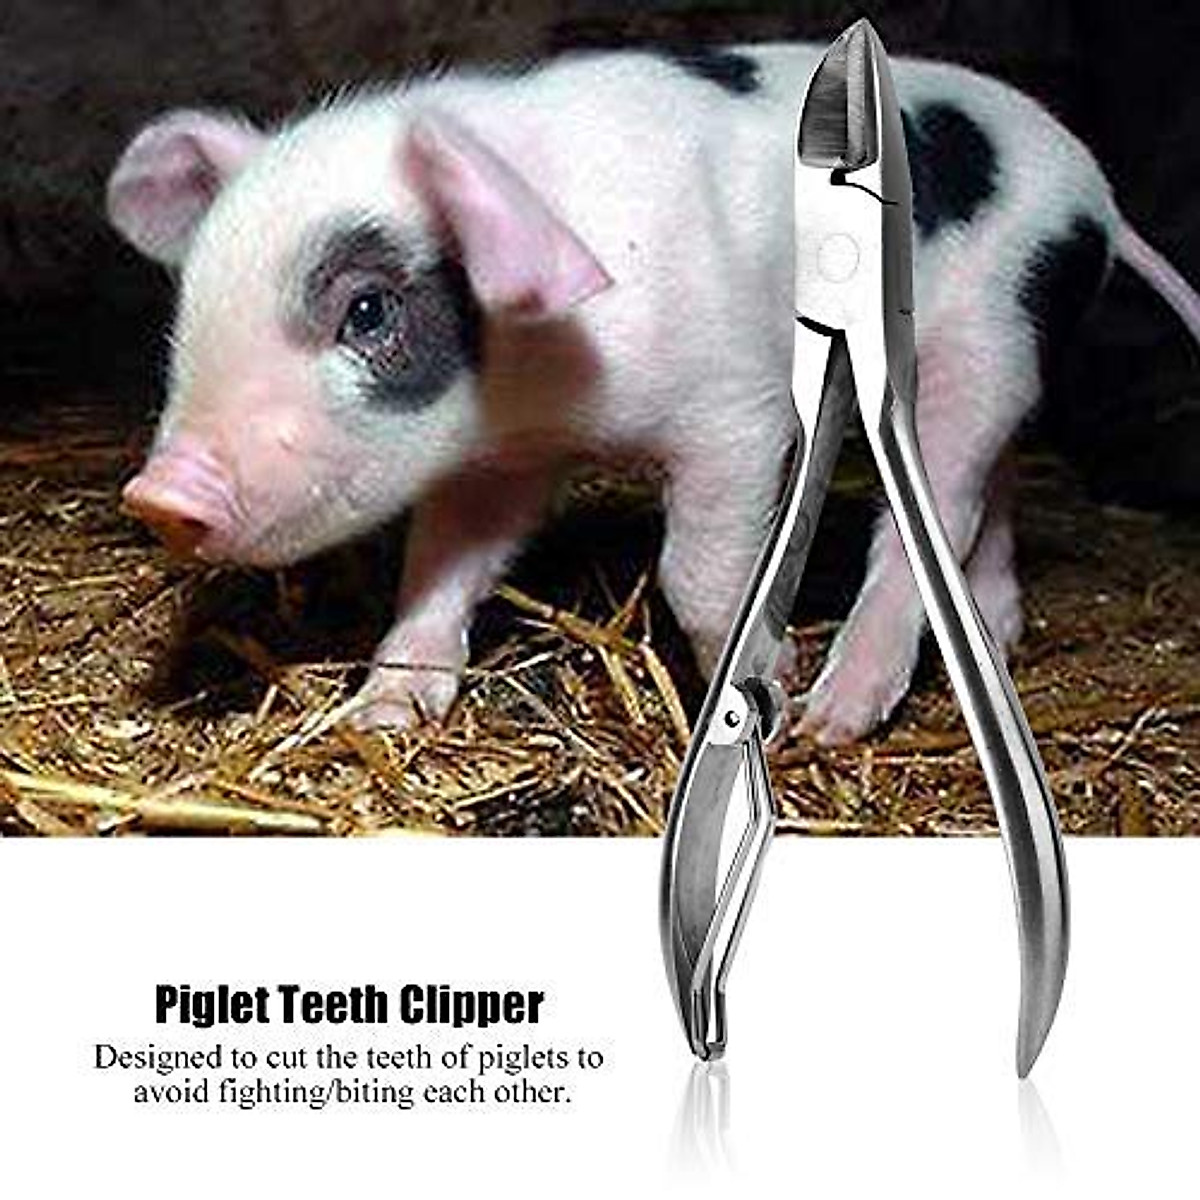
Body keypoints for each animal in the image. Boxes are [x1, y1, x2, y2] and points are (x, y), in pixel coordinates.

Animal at [106, 44, 1200, 742]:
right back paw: (996, 630)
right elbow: (445, 561)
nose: (158, 495)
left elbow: (697, 570)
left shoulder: (736, 411)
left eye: (367, 312)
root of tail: (1099, 198)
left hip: (990, 338)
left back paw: (833, 719)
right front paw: (383, 712)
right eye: (192, 293)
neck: (549, 381)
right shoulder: (499, 456)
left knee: (931, 513)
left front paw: (765, 680)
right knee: (987, 492)